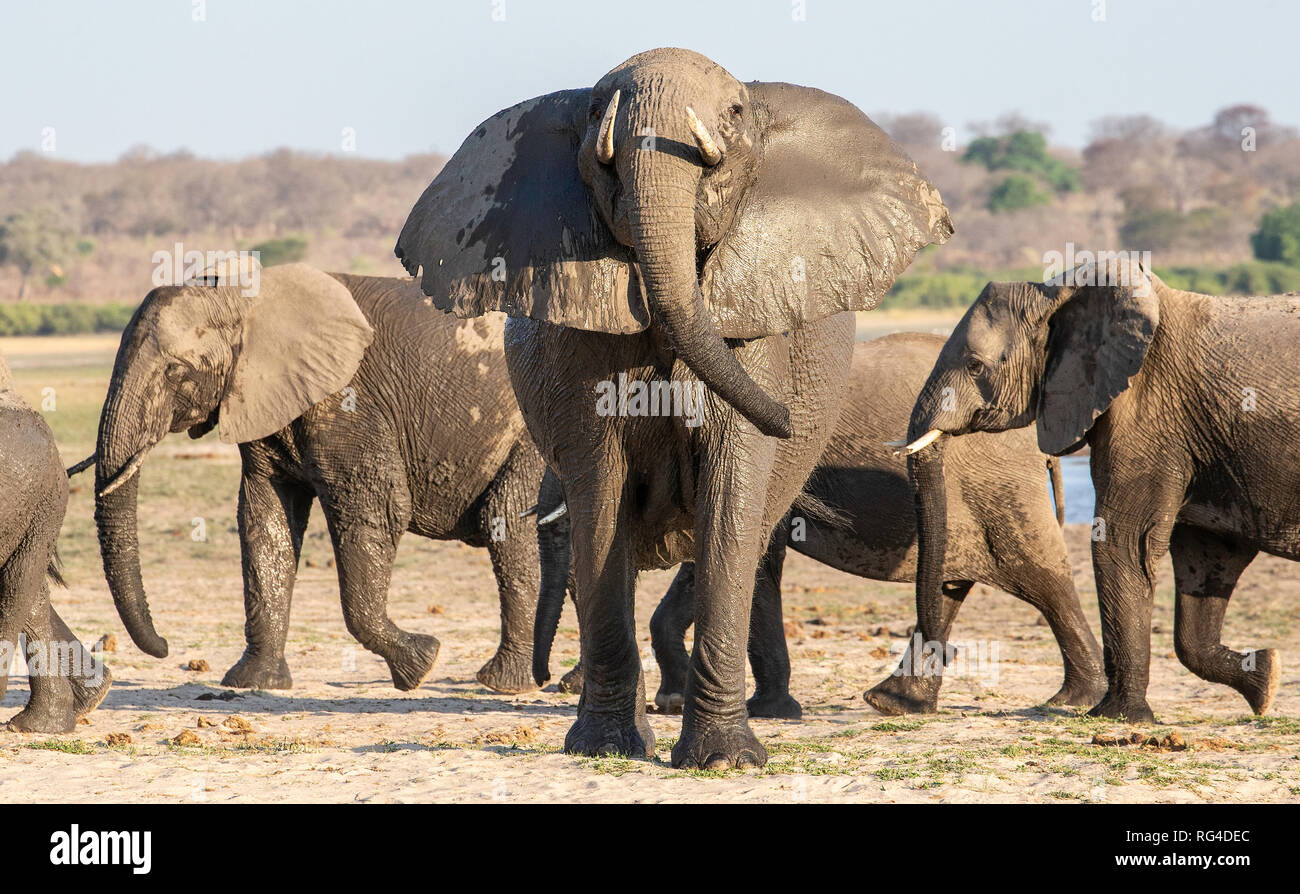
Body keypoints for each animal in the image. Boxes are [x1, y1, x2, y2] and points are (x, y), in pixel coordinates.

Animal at [89, 263, 549, 694]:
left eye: (174, 370)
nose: (166, 647)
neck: (249, 296)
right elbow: (266, 520)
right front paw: (254, 683)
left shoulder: (350, 401)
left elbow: (378, 509)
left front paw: (422, 663)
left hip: (532, 435)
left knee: (507, 517)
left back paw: (504, 683)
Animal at [395, 47, 952, 767]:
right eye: (596, 112)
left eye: (736, 114)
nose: (790, 417)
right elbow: (600, 488)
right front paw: (604, 751)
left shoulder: (752, 331)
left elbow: (733, 487)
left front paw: (725, 760)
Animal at [532, 333, 1106, 718]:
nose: (546, 683)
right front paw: (677, 701)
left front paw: (755, 710)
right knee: (949, 586)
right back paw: (893, 702)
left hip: (999, 485)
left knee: (1042, 577)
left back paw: (1071, 700)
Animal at [894, 256, 1296, 722]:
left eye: (975, 366)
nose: (949, 654)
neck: (1058, 291)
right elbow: (1208, 557)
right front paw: (1266, 677)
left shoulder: (1149, 411)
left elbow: (1121, 541)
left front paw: (1115, 717)